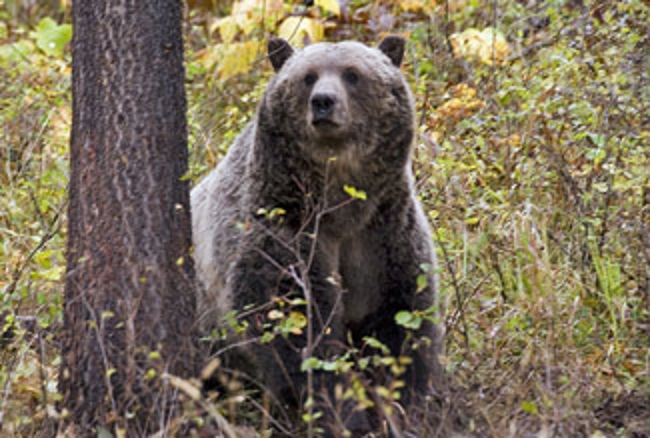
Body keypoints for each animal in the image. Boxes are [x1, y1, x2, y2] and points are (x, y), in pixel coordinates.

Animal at [191, 36, 443, 434]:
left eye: (353, 74)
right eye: (308, 76)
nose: (323, 101)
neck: (340, 203)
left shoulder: (383, 233)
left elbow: (400, 318)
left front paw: (400, 403)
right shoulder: (284, 227)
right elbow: (297, 324)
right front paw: (344, 413)